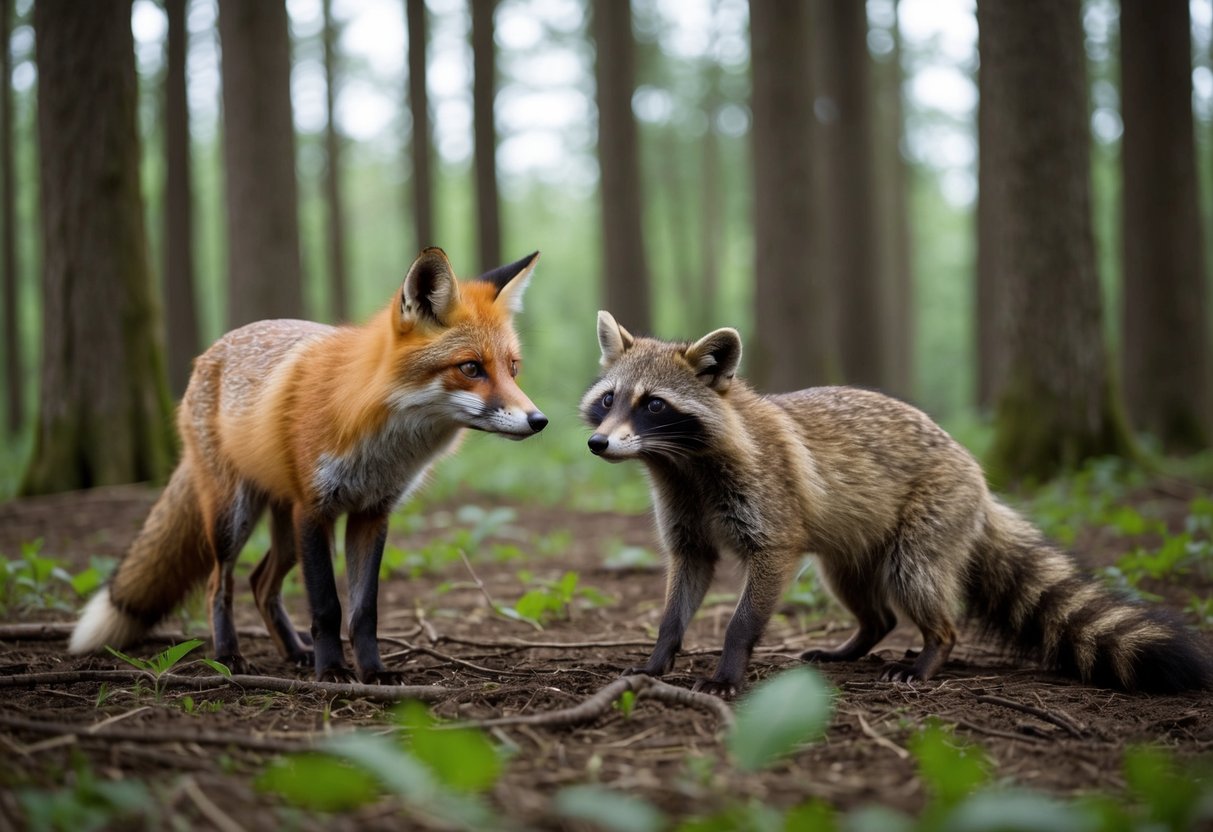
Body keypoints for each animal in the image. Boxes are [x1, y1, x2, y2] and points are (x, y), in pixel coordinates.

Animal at [70, 248, 548, 683]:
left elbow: (364, 610)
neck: (379, 441)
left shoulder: (371, 514)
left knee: (261, 583)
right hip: (235, 517)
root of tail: (212, 351)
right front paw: (333, 670)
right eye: (470, 368)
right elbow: (326, 605)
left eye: (513, 367)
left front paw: (372, 672)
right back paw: (229, 656)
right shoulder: (315, 510)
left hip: (285, 533)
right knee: (218, 584)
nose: (538, 420)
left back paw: (294, 651)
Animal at [580, 311, 1213, 698]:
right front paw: (660, 656)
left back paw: (933, 651)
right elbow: (680, 594)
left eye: (653, 405)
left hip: (928, 524)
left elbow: (745, 615)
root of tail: (979, 478)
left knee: (922, 588)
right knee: (874, 608)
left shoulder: (770, 520)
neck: (680, 465)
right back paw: (859, 640)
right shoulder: (687, 523)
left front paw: (729, 665)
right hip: (847, 553)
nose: (598, 444)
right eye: (610, 400)